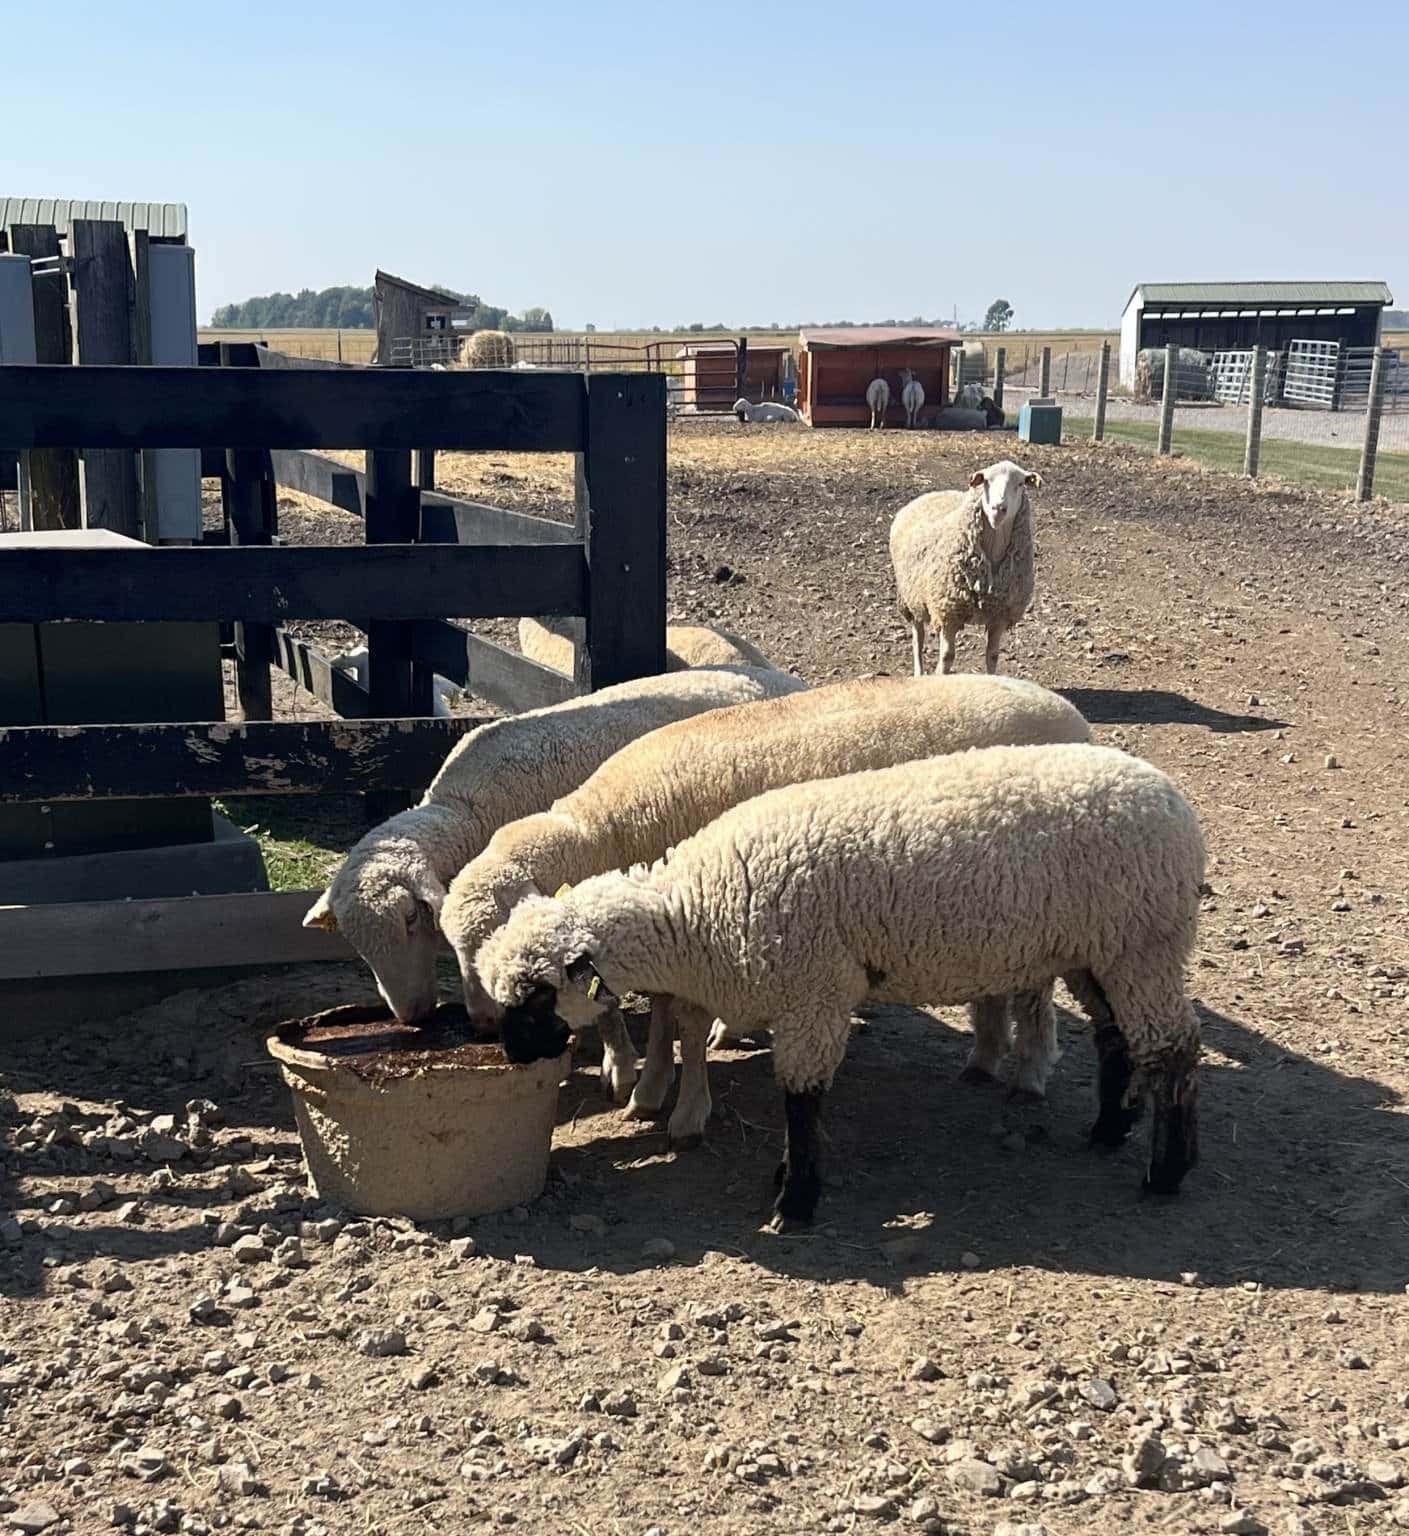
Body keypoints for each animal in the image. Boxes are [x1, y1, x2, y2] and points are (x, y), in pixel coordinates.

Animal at [443, 674, 1091, 1137]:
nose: (483, 1028)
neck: (606, 828)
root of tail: (1074, 718)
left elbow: (681, 1017)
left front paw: (676, 1103)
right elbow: (660, 1011)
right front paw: (651, 1086)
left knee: (1036, 991)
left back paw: (1030, 1072)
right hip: (986, 904)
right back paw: (985, 1055)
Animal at [478, 742, 1205, 1229]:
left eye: (537, 994)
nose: (509, 1053)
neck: (696, 909)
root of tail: (1171, 798)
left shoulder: (816, 994)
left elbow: (800, 1101)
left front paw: (793, 1200)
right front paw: (786, 1182)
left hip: (1144, 942)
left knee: (1173, 1047)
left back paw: (1165, 1172)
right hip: (1099, 950)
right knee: (1117, 1037)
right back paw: (1108, 1130)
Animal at [890, 459, 1039, 677]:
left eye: (1020, 484)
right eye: (986, 481)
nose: (998, 509)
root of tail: (932, 493)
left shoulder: (1000, 615)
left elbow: (992, 656)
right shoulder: (948, 612)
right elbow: (947, 657)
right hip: (912, 596)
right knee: (918, 637)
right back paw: (919, 672)